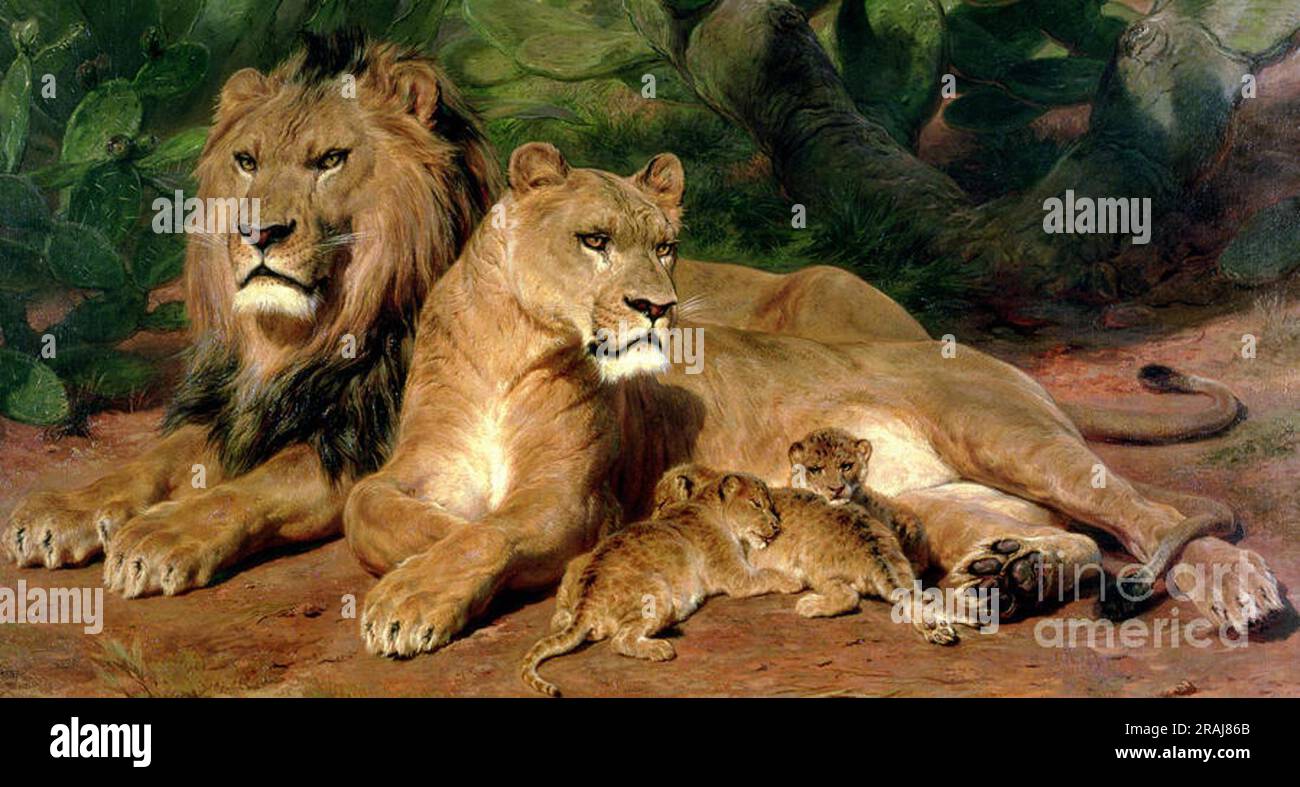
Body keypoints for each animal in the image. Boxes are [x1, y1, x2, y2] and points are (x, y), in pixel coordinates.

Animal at [344, 142, 1278, 662]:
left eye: (667, 246)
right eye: (594, 240)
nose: (658, 308)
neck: (510, 342)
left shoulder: (576, 496)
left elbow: (492, 530)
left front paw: (411, 599)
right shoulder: (416, 467)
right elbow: (371, 508)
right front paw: (422, 561)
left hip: (1001, 433)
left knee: (1149, 513)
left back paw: (1239, 588)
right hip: (935, 498)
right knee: (1074, 535)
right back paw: (1006, 577)